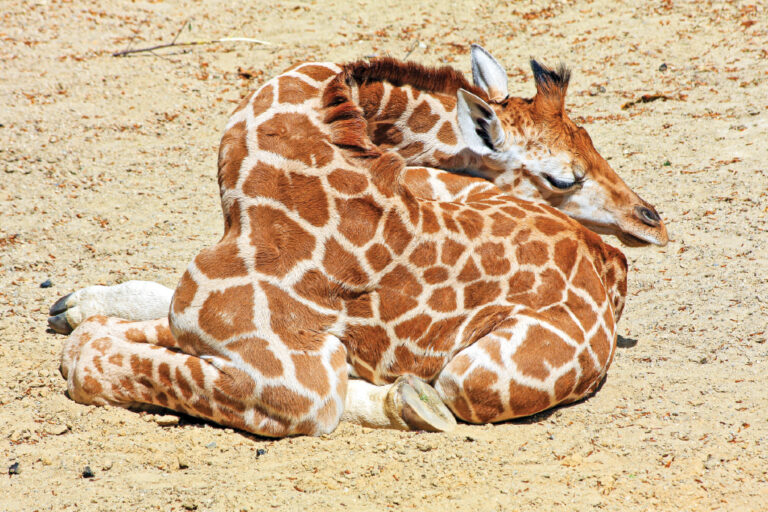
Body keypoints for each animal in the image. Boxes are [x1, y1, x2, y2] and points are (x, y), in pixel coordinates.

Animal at [52, 48, 661, 436]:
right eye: (565, 176)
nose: (651, 220)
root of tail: (610, 269)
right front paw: (82, 310)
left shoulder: (295, 380)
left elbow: (86, 357)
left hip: (476, 376)